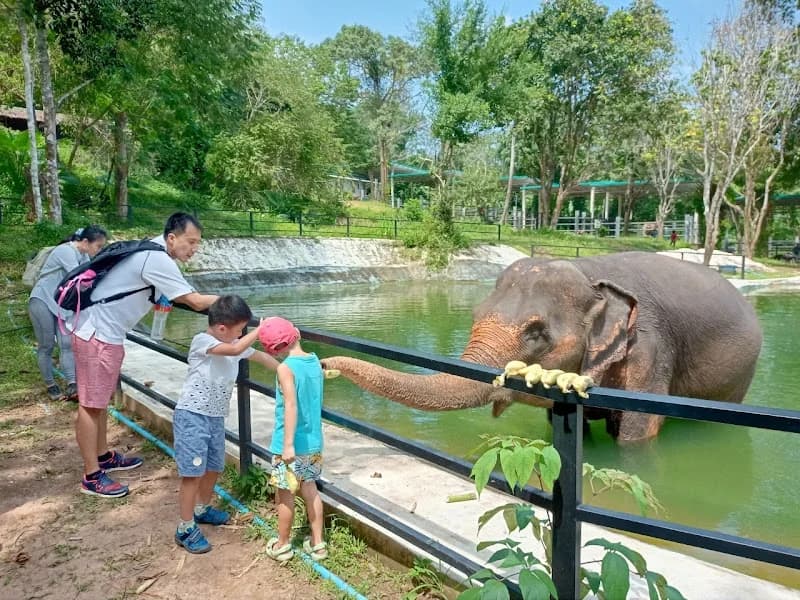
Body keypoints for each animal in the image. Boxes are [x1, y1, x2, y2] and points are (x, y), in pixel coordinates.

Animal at [323, 252, 763, 442]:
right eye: (475, 314)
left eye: (536, 333)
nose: (325, 362)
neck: (589, 272)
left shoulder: (650, 351)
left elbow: (638, 432)